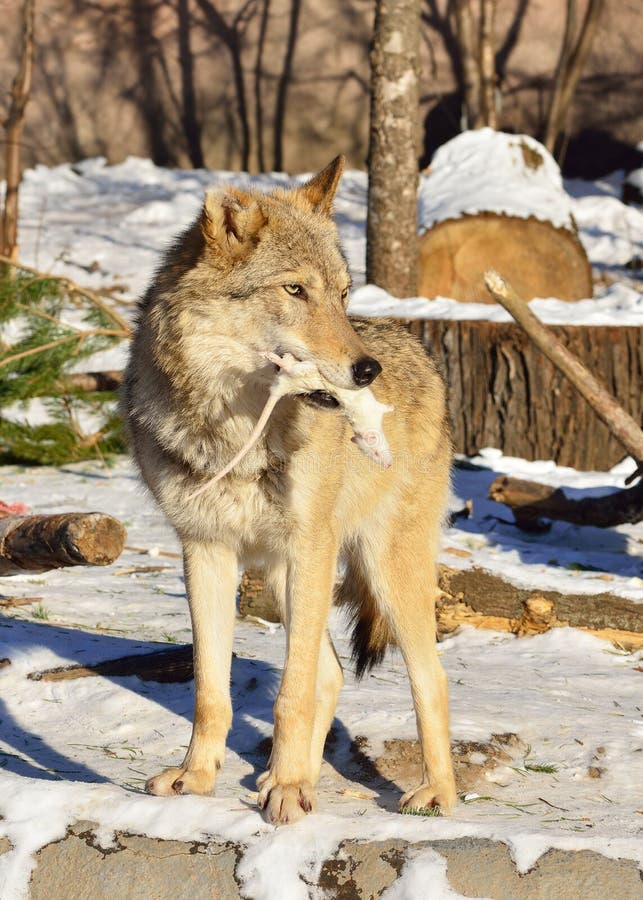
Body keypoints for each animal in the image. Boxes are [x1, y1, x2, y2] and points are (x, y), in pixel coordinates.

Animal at [122, 156, 457, 824]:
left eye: (343, 294)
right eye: (295, 290)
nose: (367, 370)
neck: (237, 431)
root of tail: (420, 350)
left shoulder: (311, 546)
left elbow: (290, 691)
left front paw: (292, 791)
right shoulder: (205, 551)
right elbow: (211, 691)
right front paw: (198, 777)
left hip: (377, 569)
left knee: (428, 679)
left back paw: (434, 793)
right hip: (285, 576)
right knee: (331, 673)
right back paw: (286, 771)